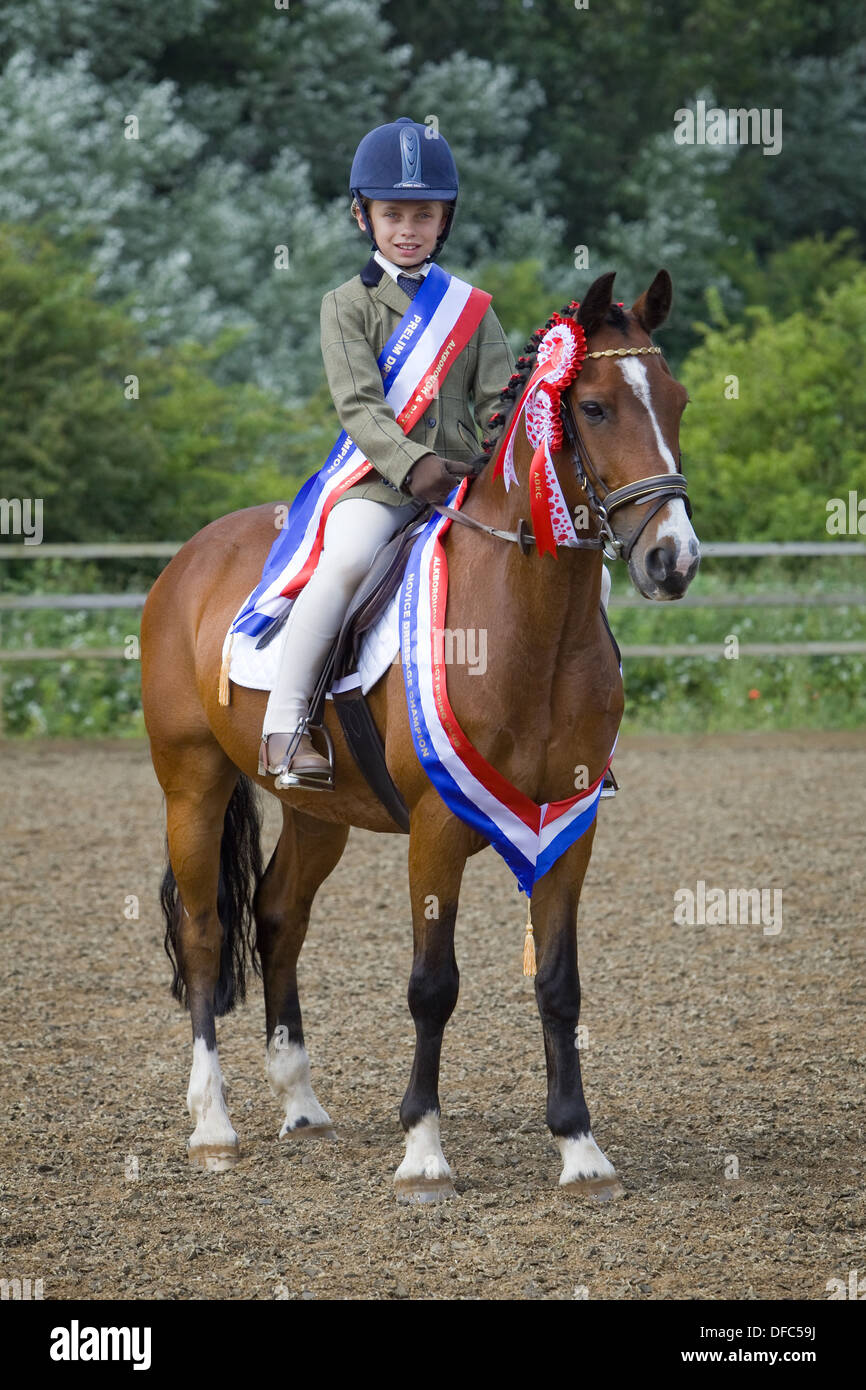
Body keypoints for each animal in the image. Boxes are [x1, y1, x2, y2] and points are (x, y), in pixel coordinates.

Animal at [140, 269, 700, 1202]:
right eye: (591, 408)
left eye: (679, 400)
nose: (673, 560)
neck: (531, 625)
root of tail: (192, 556)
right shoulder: (437, 831)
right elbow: (433, 985)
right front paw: (424, 1154)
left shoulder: (570, 823)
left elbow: (559, 985)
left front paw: (580, 1149)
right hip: (193, 782)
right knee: (207, 930)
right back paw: (213, 1125)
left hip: (317, 811)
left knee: (279, 914)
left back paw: (302, 1104)